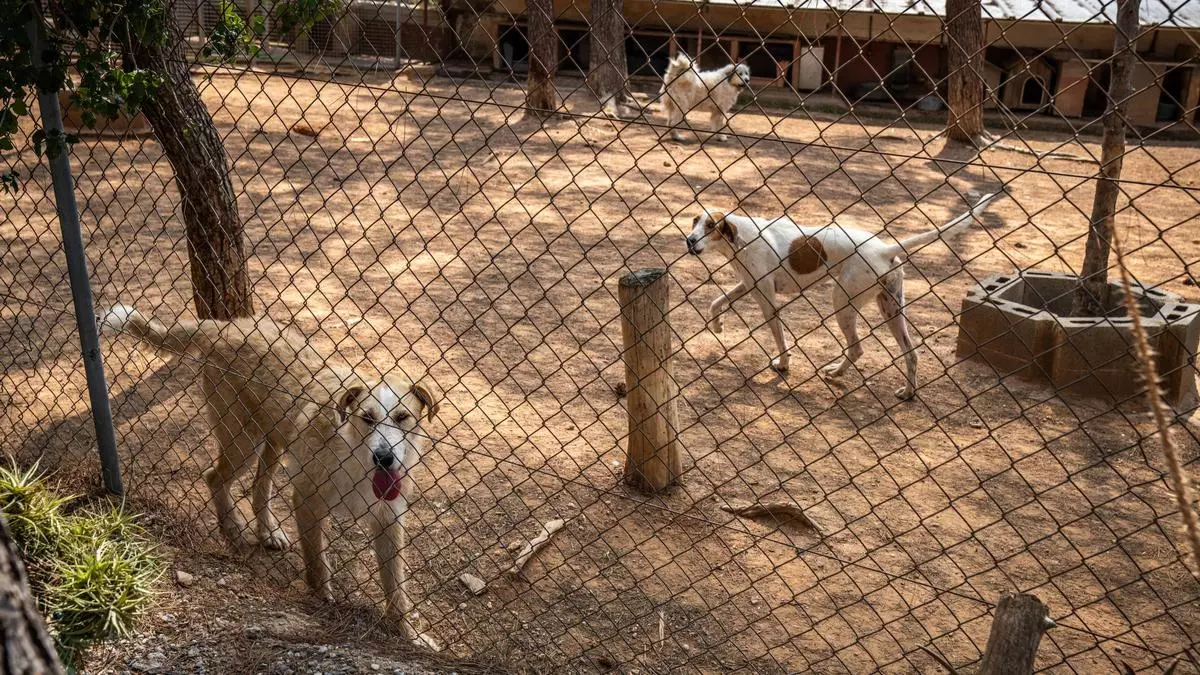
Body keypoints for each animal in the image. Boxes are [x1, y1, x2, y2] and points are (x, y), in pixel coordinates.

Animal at [103, 305, 441, 648]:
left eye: (402, 417)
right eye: (367, 418)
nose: (384, 458)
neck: (355, 453)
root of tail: (229, 326)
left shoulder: (389, 520)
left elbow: (396, 588)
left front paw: (409, 634)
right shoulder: (307, 500)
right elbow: (317, 563)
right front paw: (322, 601)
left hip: (273, 444)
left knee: (259, 487)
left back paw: (267, 531)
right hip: (243, 442)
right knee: (215, 477)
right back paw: (233, 528)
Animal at [686, 192, 1003, 396]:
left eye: (711, 226)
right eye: (694, 221)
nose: (689, 241)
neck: (740, 238)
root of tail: (883, 249)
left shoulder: (767, 300)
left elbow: (780, 338)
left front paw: (783, 365)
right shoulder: (749, 285)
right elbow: (716, 301)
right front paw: (718, 325)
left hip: (843, 302)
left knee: (858, 347)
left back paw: (838, 372)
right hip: (891, 308)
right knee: (911, 353)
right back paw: (906, 392)